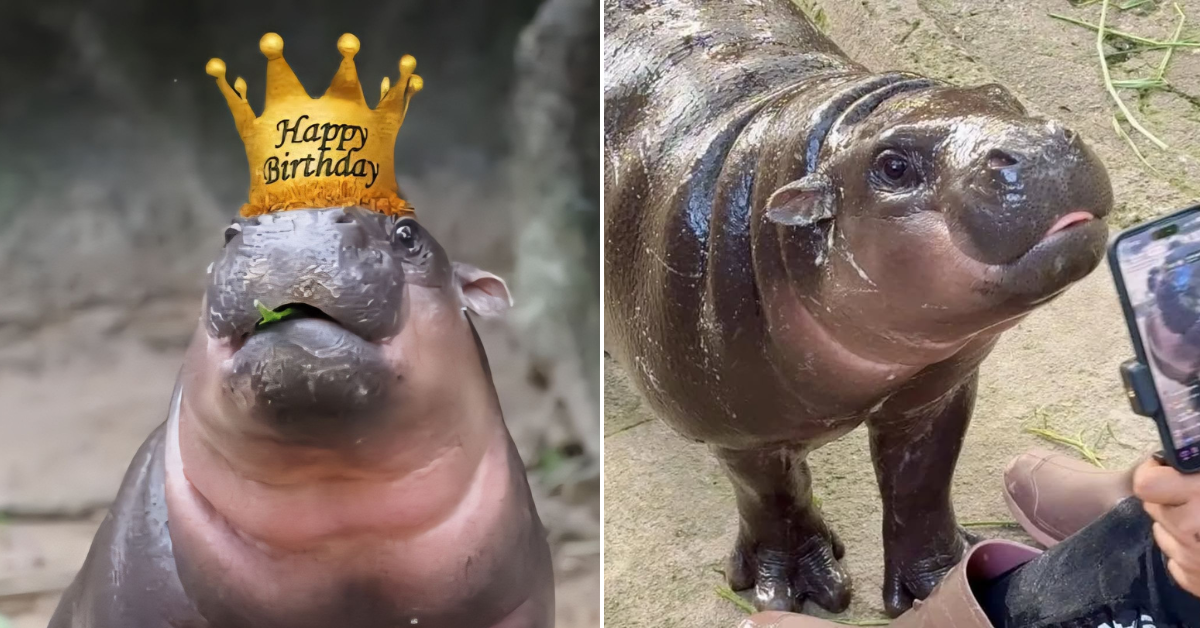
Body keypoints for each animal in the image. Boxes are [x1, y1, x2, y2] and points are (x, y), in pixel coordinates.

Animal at [604, 0, 1112, 617]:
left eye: (1003, 95)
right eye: (893, 166)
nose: (1044, 147)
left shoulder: (936, 392)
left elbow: (921, 483)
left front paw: (942, 581)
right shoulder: (744, 437)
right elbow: (775, 499)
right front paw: (796, 593)